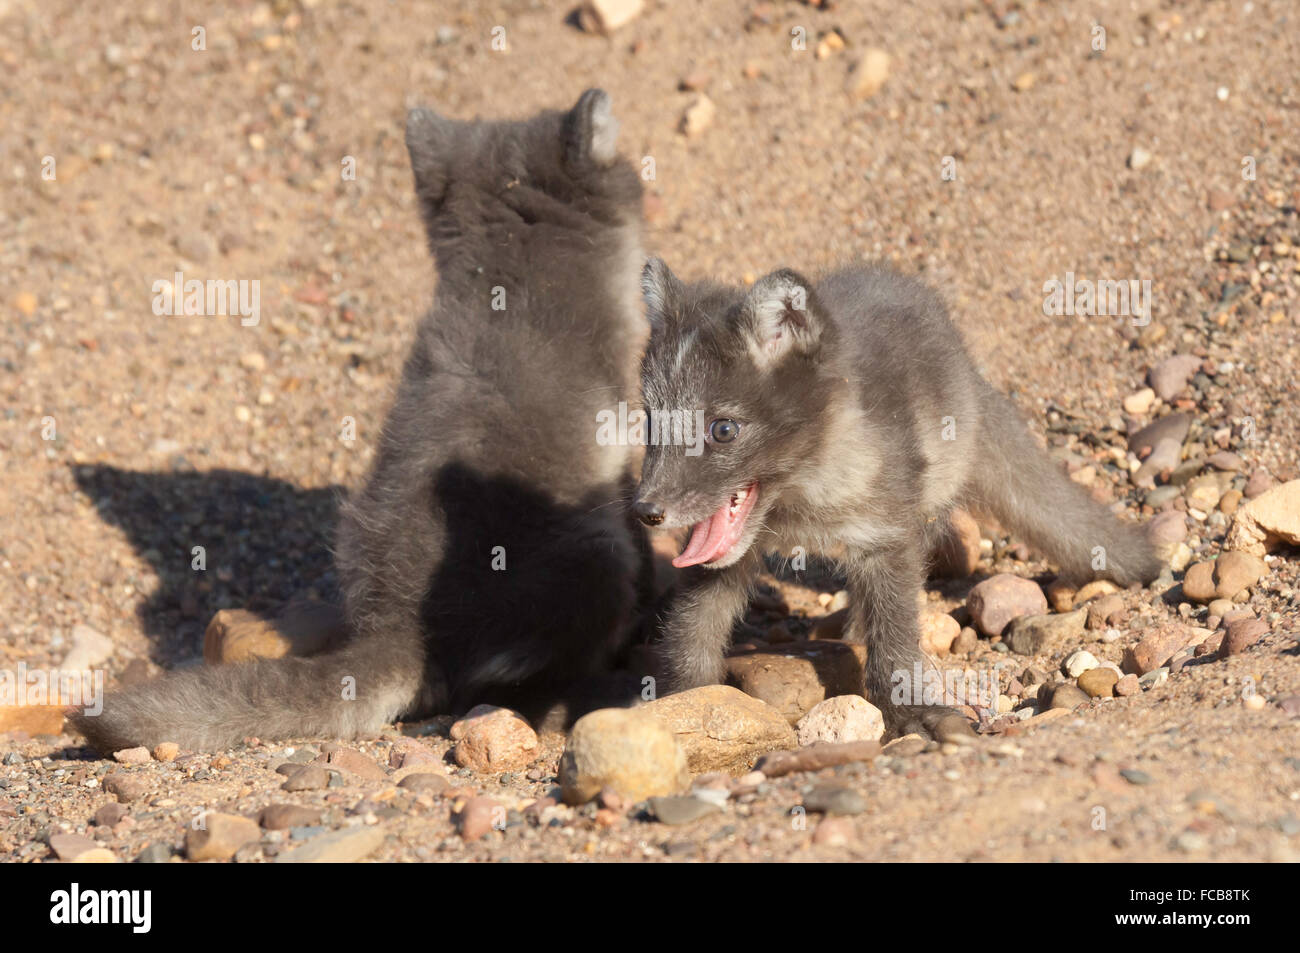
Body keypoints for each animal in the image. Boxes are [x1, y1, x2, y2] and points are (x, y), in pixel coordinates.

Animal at [632, 259, 1162, 741]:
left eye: (723, 429)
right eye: (650, 423)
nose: (645, 512)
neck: (800, 500)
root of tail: (969, 371)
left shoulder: (887, 536)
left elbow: (894, 636)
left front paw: (907, 714)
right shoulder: (723, 561)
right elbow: (692, 633)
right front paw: (688, 700)